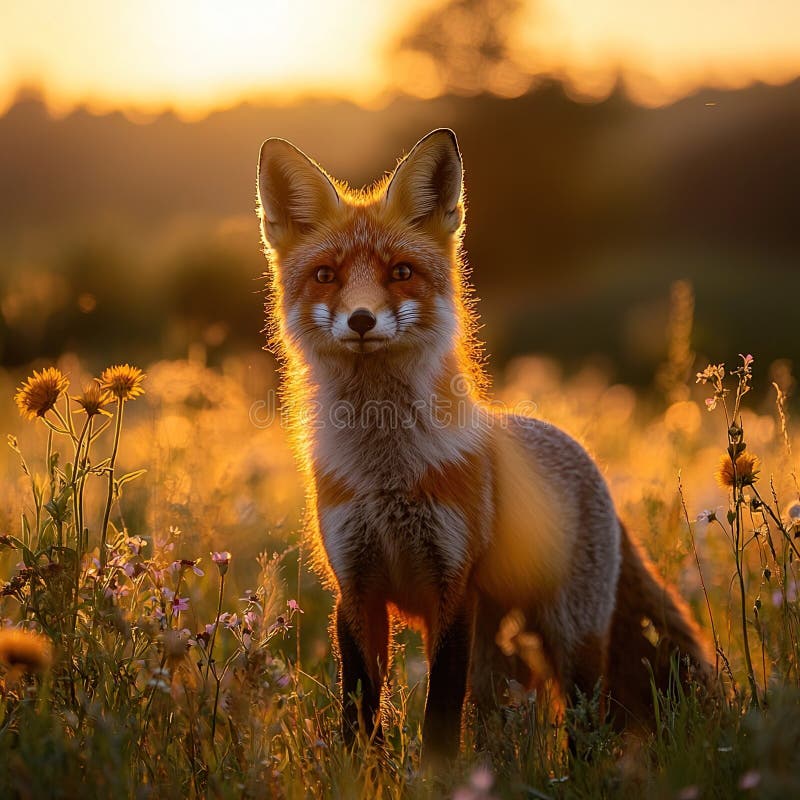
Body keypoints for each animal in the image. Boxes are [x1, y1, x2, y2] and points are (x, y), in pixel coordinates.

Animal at [255, 128, 712, 765]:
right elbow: (359, 711)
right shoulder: (356, 587)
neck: (385, 472)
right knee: (505, 720)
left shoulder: (453, 585)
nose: (362, 319)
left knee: (587, 720)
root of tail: (584, 458)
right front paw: (363, 775)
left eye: (400, 271)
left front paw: (437, 779)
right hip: (501, 657)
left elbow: (440, 719)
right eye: (326, 275)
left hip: (567, 639)